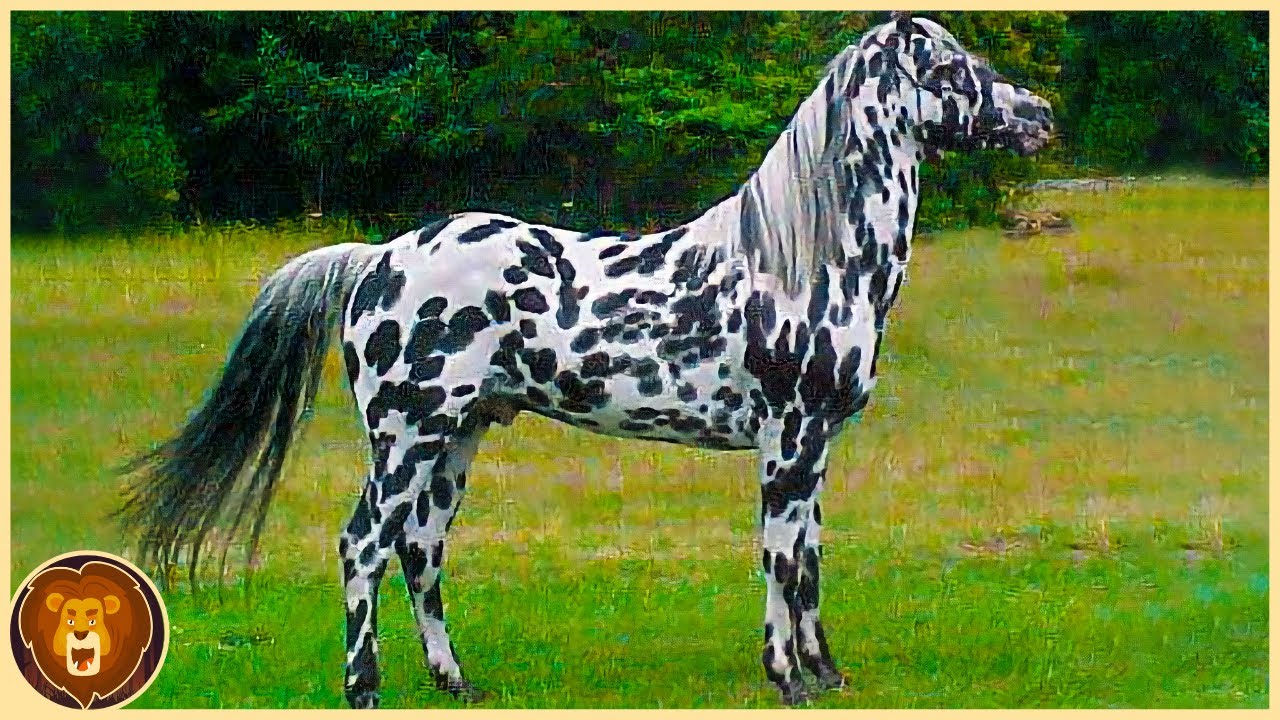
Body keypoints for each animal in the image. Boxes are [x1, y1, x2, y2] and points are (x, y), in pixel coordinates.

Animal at [118, 13, 1053, 708]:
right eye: (955, 68)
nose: (1040, 116)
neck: (802, 259)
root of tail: (378, 258)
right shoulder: (788, 442)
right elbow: (782, 557)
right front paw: (787, 678)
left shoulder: (813, 444)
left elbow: (811, 557)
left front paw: (825, 671)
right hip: (406, 439)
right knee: (363, 545)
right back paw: (365, 688)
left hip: (458, 440)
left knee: (421, 549)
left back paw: (456, 682)